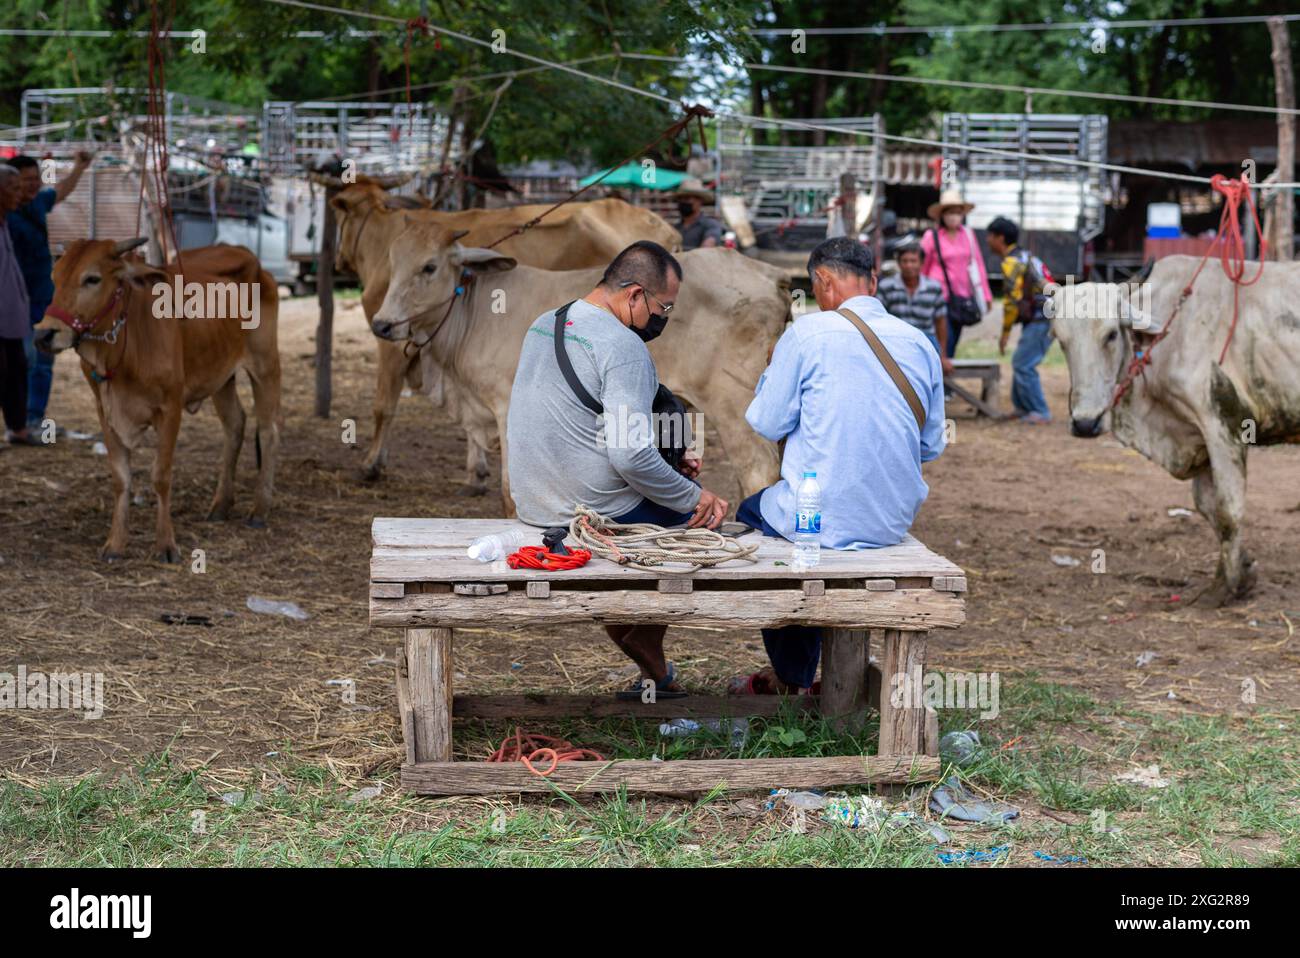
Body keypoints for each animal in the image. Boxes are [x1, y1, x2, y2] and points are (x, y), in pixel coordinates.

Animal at [33, 239, 282, 563]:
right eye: (55, 277)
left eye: (92, 279)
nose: (43, 333)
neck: (124, 346)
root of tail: (251, 258)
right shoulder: (105, 411)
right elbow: (121, 479)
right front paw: (115, 543)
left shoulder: (170, 408)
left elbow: (161, 476)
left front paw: (165, 545)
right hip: (221, 375)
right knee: (235, 425)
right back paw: (220, 504)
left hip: (265, 364)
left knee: (268, 431)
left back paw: (260, 509)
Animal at [320, 175, 682, 490]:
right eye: (394, 263)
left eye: (429, 267)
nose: (382, 324)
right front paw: (476, 474)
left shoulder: (396, 349)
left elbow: (383, 406)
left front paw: (370, 465)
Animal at [365, 220, 789, 514]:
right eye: (392, 261)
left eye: (429, 267)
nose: (382, 325)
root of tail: (771, 275)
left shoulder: (506, 409)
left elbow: (511, 495)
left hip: (735, 408)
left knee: (757, 473)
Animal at [1053, 255, 1300, 604]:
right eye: (1059, 339)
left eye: (1111, 334)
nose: (1085, 423)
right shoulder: (1198, 440)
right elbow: (1206, 505)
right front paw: (1242, 572)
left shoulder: (1223, 425)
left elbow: (1228, 509)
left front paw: (1227, 587)